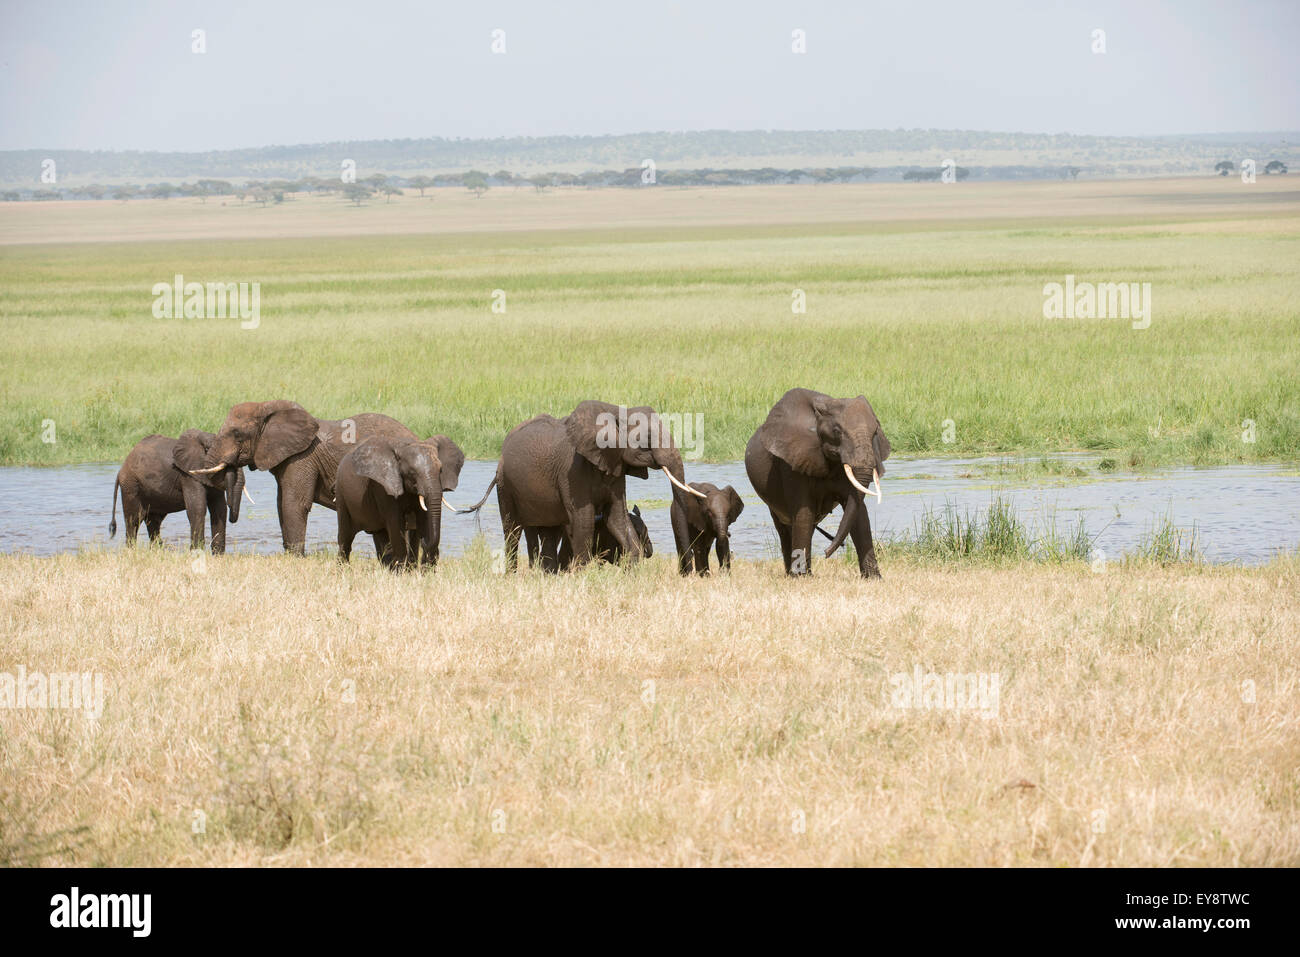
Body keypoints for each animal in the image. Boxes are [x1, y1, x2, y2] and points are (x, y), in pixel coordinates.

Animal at [109, 431, 248, 552]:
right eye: (210, 450)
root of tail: (121, 469)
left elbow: (219, 509)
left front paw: (218, 555)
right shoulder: (187, 474)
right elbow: (197, 508)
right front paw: (197, 552)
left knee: (153, 522)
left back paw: (157, 551)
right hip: (131, 486)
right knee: (134, 520)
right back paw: (131, 551)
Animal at [187, 400, 419, 554]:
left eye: (237, 434)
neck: (269, 407)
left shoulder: (302, 457)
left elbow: (293, 504)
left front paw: (296, 557)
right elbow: (281, 505)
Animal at [335, 434, 465, 569]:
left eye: (440, 470)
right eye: (411, 473)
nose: (424, 540)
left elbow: (424, 519)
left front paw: (426, 571)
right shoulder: (383, 486)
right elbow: (396, 524)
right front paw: (402, 571)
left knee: (381, 539)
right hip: (341, 495)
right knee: (345, 539)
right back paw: (344, 569)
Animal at [463, 401, 706, 571]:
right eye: (646, 439)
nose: (686, 572)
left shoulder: (614, 465)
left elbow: (617, 518)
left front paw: (633, 573)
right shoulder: (572, 472)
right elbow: (584, 519)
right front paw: (583, 576)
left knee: (548, 532)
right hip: (505, 485)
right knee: (512, 529)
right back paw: (514, 575)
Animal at [744, 388, 889, 578]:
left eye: (875, 432)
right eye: (837, 431)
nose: (826, 553)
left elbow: (857, 511)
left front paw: (873, 579)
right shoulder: (790, 462)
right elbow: (804, 512)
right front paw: (801, 578)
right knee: (786, 527)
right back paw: (793, 574)